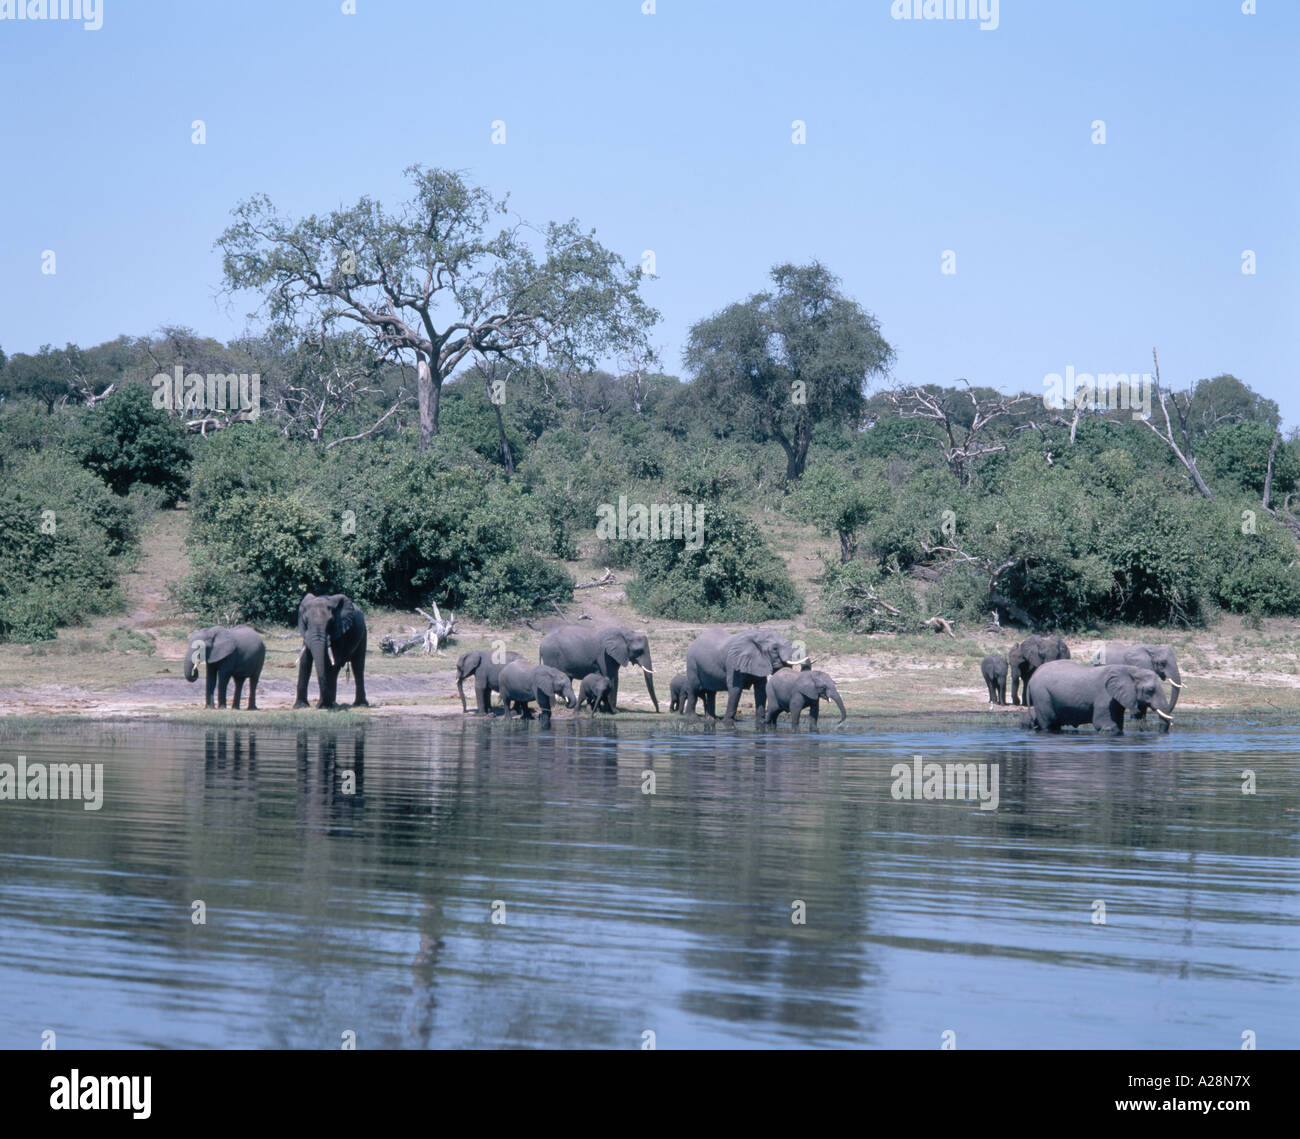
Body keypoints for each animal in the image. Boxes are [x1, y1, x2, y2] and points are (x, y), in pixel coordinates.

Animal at [1022, 660, 1173, 734]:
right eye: (1150, 690)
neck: (1130, 669)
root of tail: (1032, 678)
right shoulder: (1105, 695)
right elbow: (1107, 726)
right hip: (1041, 694)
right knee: (1049, 723)